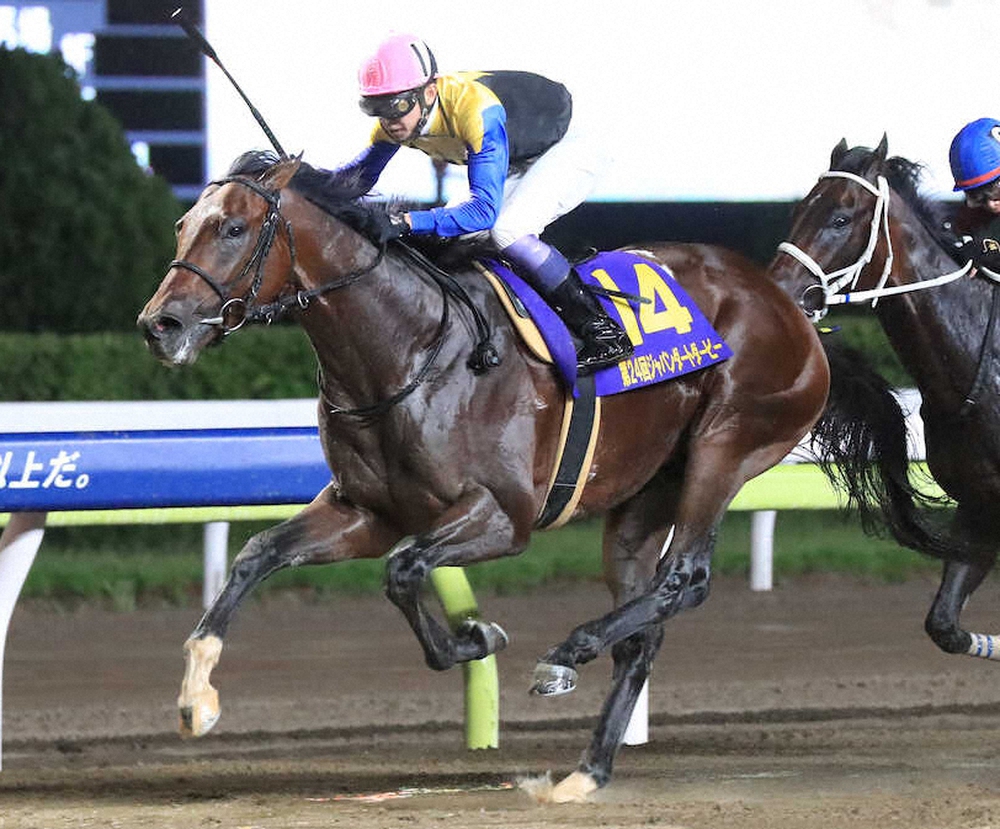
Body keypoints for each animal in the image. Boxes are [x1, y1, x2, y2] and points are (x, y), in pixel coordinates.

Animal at [137, 150, 938, 802]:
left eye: (233, 229)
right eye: (182, 224)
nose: (160, 325)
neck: (407, 350)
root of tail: (791, 307)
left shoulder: (503, 516)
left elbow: (405, 570)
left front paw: (477, 636)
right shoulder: (367, 511)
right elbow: (257, 554)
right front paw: (197, 699)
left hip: (727, 443)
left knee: (686, 578)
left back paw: (566, 656)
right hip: (646, 491)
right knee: (644, 620)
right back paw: (585, 770)